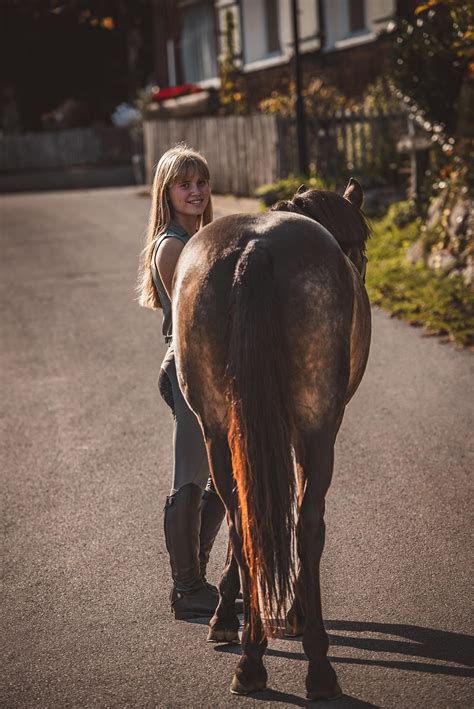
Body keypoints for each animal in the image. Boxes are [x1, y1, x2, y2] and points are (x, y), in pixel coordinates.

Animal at [171, 178, 371, 700]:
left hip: (216, 430)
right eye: (361, 250)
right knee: (308, 526)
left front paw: (225, 618)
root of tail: (255, 250)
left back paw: (250, 660)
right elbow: (301, 516)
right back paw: (317, 665)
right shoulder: (312, 432)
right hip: (317, 430)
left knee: (241, 521)